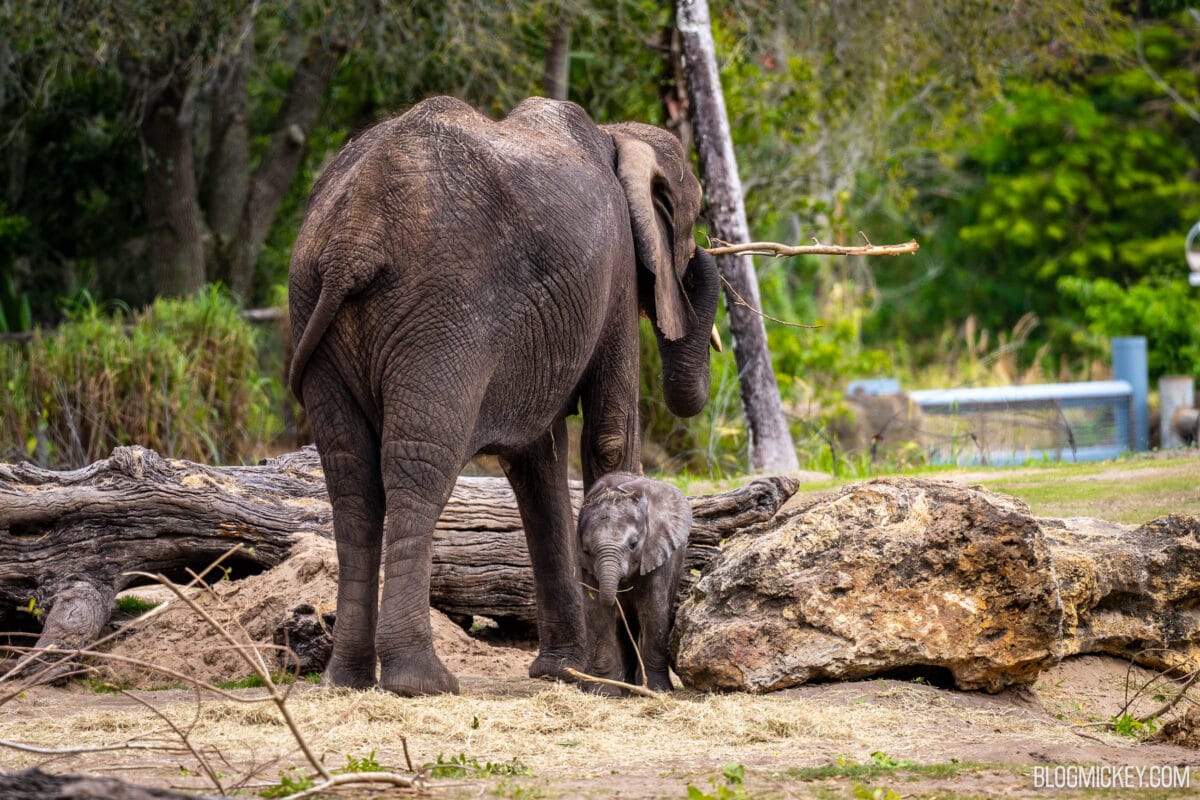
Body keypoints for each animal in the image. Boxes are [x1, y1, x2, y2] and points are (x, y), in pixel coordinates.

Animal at [577, 472, 691, 693]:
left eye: (633, 544)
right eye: (586, 551)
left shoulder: (656, 551)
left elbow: (653, 611)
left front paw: (657, 690)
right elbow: (597, 613)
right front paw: (603, 691)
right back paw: (628, 686)